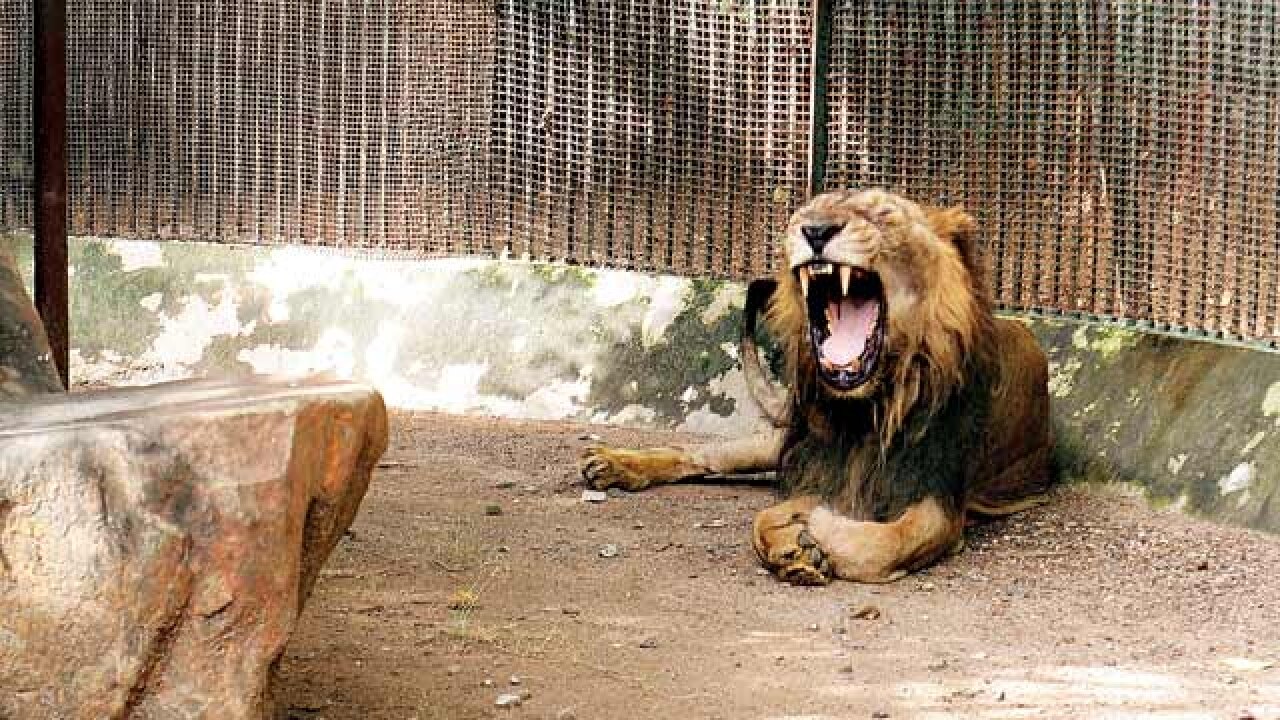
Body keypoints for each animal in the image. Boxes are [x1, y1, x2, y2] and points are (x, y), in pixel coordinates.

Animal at [580, 189, 1053, 585]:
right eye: (805, 212)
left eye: (884, 214)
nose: (816, 230)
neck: (867, 411)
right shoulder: (819, 470)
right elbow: (764, 519)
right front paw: (793, 546)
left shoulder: (939, 501)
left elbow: (883, 543)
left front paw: (816, 536)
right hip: (780, 442)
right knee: (700, 455)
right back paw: (612, 463)